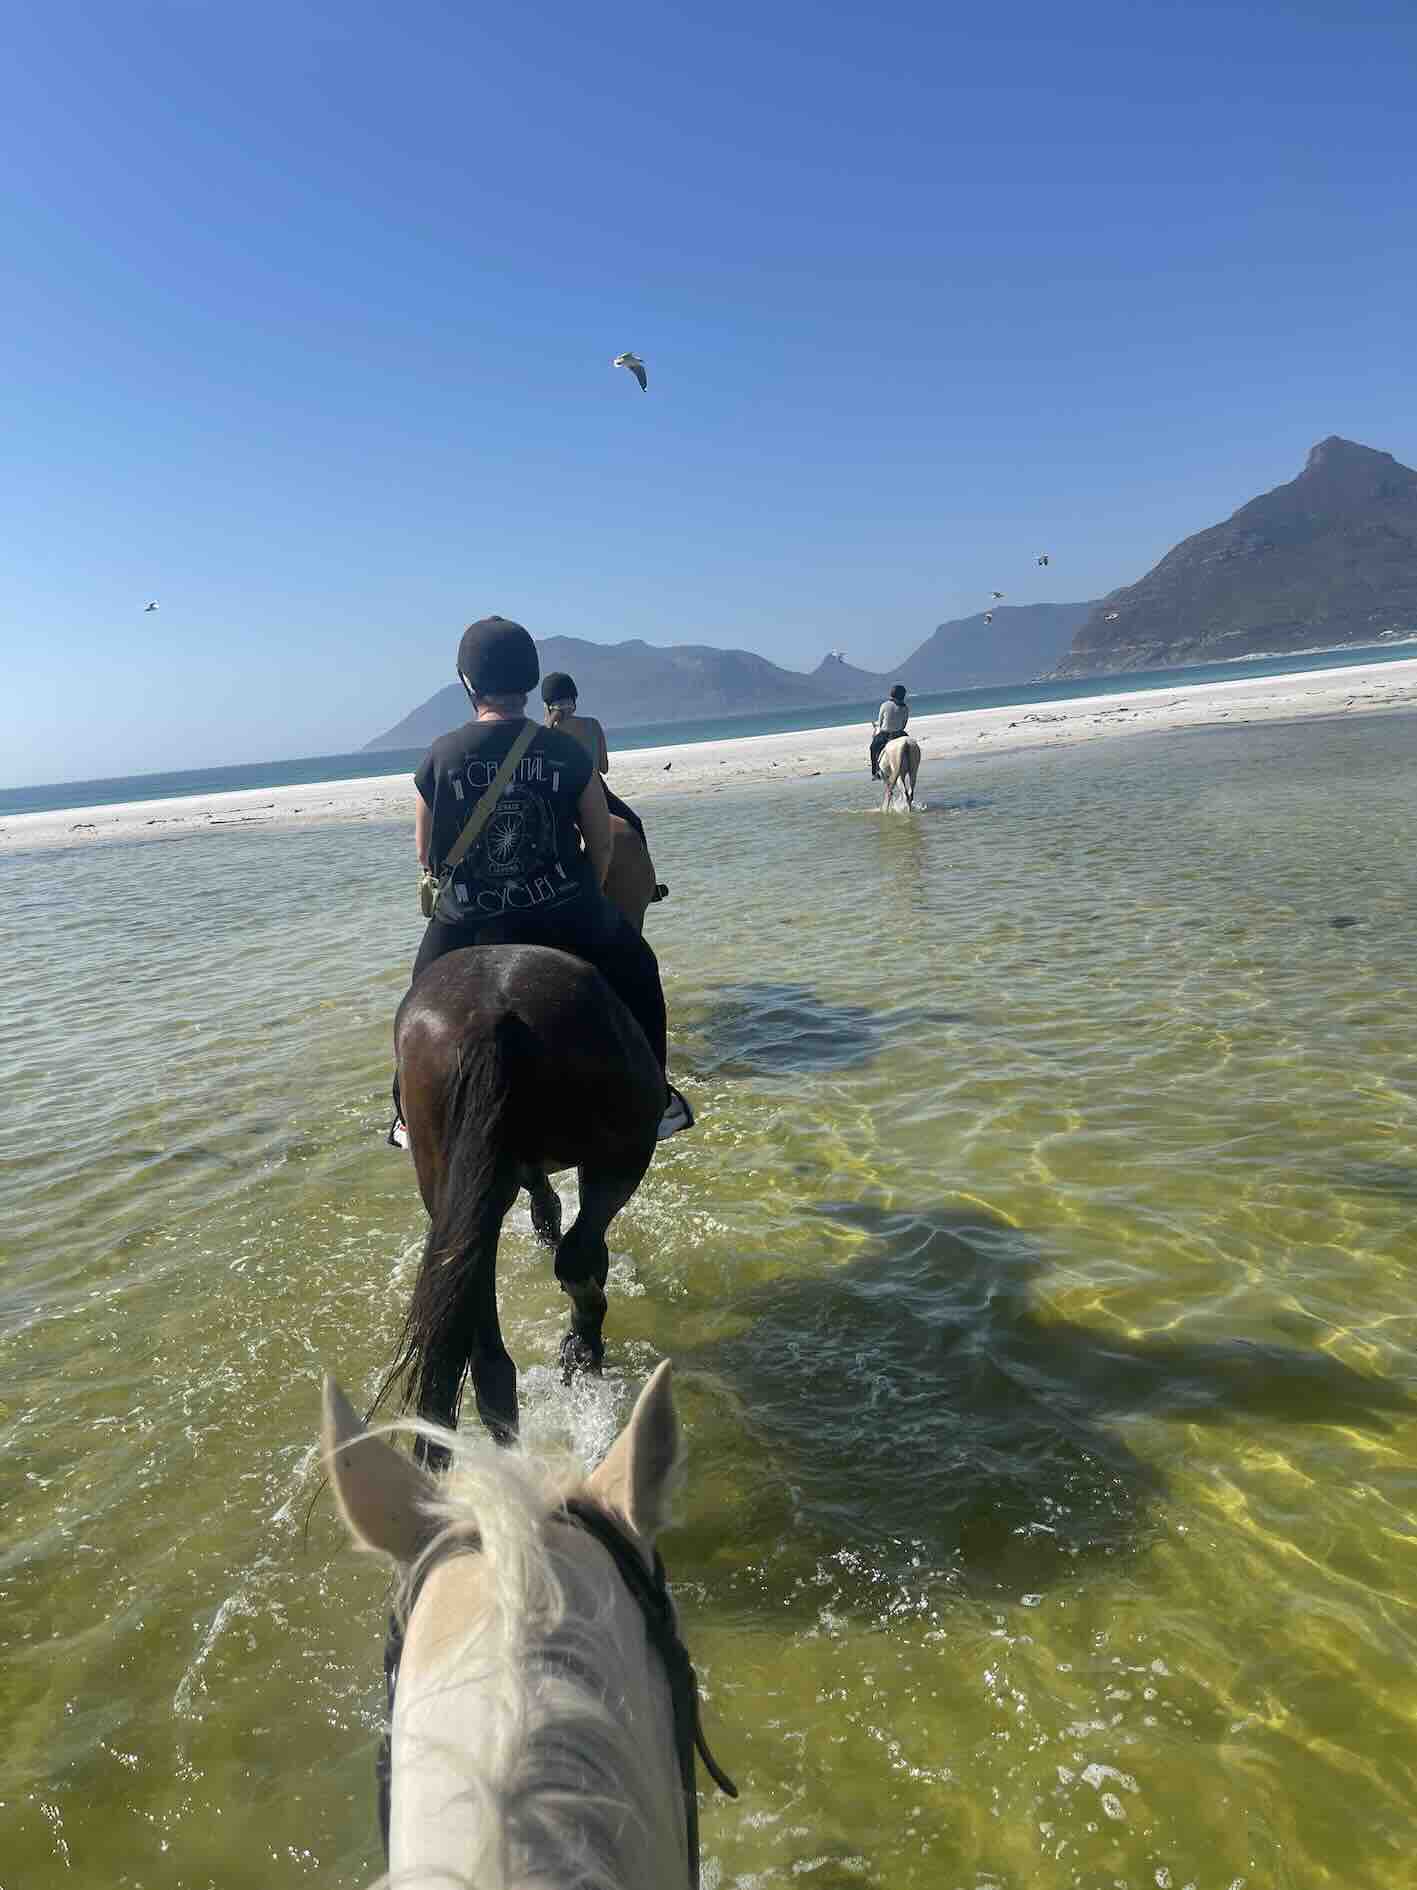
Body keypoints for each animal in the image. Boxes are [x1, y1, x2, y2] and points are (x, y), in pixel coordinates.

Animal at [391, 943, 664, 1447]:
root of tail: (490, 1015)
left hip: (452, 1189)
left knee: (484, 1349)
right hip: (622, 1158)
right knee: (579, 1255)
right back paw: (583, 1353)